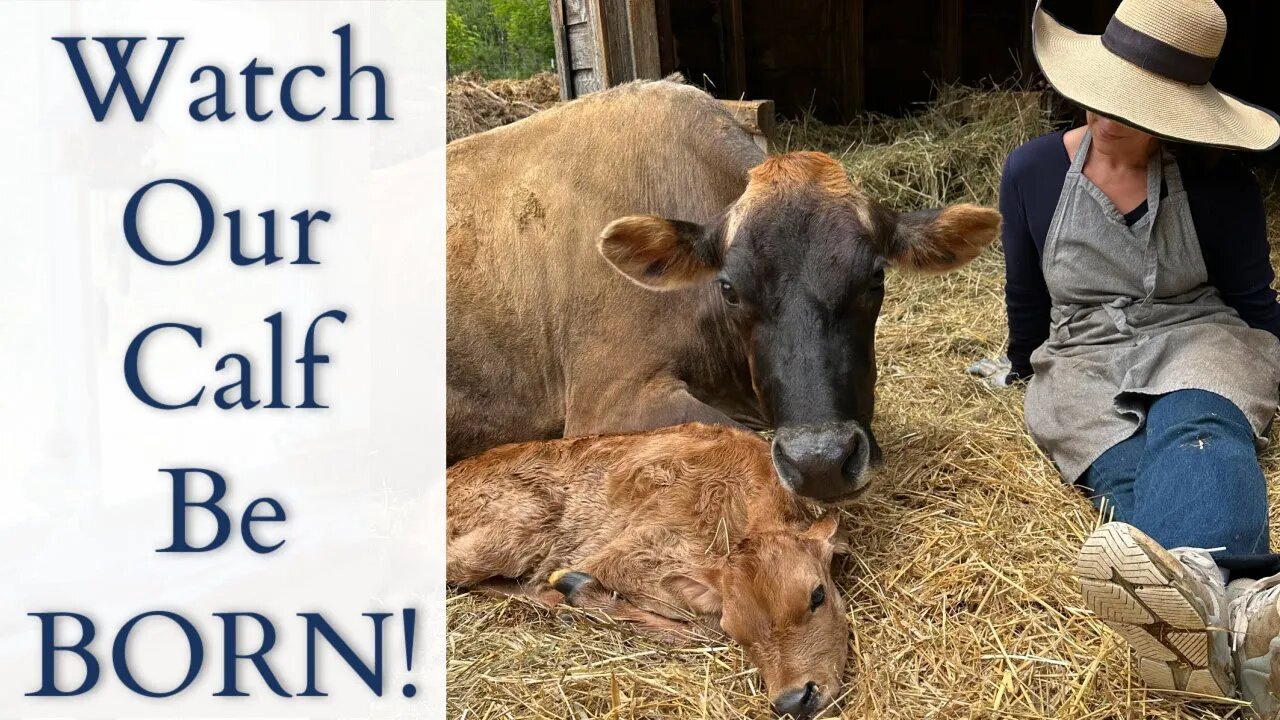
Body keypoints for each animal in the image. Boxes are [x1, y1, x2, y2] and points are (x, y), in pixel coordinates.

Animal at [447, 422, 850, 719]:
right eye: (737, 631)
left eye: (818, 595)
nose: (794, 700)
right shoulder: (623, 557)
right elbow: (703, 629)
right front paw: (579, 591)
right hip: (514, 530)